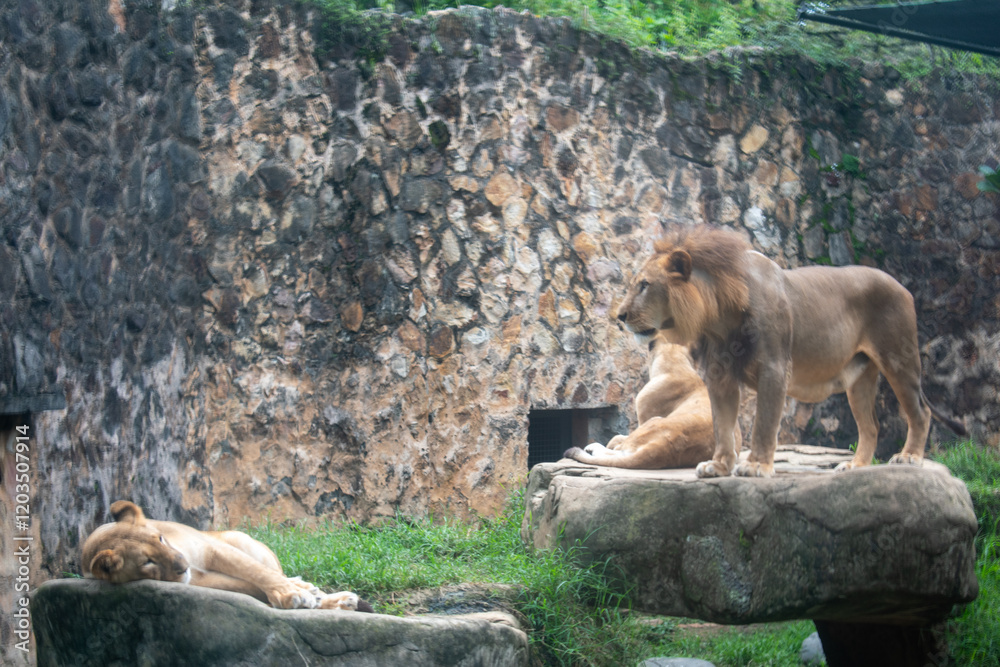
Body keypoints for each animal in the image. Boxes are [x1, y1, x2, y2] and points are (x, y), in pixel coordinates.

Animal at [82, 500, 371, 611]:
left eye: (160, 538)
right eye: (147, 562)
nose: (183, 565)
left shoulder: (211, 548)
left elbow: (257, 572)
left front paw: (293, 594)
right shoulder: (201, 580)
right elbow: (249, 585)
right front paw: (301, 596)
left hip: (239, 538)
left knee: (276, 571)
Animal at [564, 333, 734, 468]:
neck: (677, 366)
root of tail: (665, 448)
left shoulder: (644, 412)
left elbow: (617, 438)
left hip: (653, 421)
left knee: (617, 452)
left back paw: (591, 447)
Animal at [615, 226, 966, 478]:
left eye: (644, 285)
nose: (619, 316)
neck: (718, 317)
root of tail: (903, 287)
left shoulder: (774, 367)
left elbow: (764, 423)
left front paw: (756, 466)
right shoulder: (719, 375)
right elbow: (722, 426)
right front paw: (720, 466)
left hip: (899, 359)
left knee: (920, 412)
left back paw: (908, 458)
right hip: (859, 378)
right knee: (871, 426)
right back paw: (855, 466)